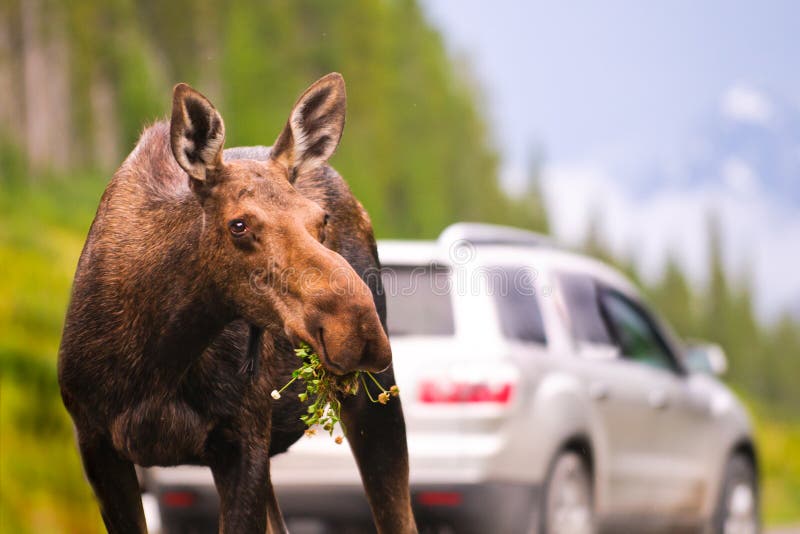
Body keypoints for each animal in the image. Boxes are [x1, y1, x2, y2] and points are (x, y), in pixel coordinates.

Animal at [58, 73, 417, 534]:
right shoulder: (97, 444)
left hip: (371, 403)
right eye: (239, 225)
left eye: (320, 219)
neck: (159, 357)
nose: (358, 329)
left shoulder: (243, 441)